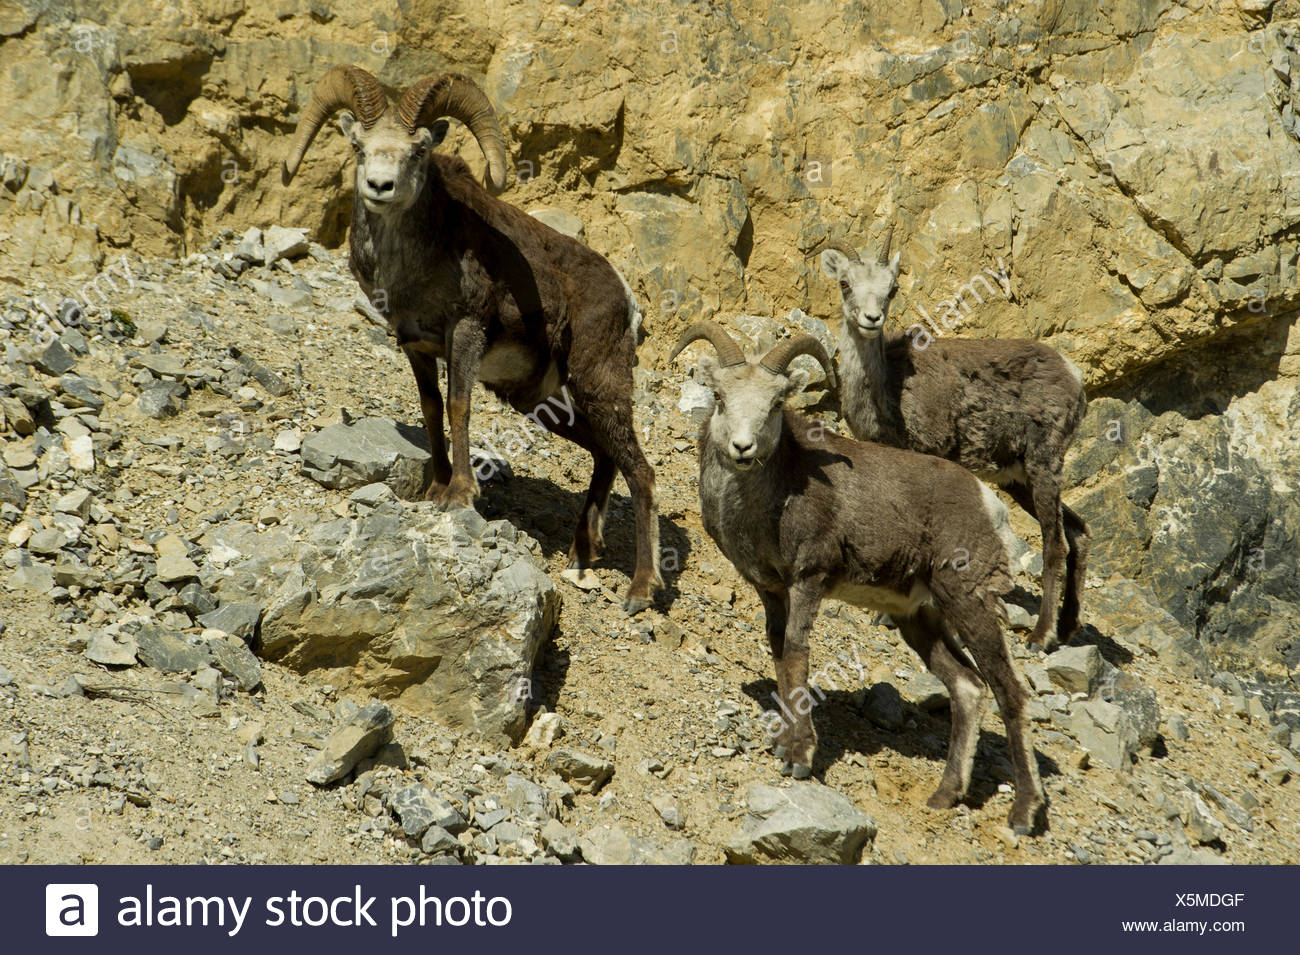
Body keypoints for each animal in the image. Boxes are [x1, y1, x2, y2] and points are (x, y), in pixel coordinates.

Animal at [280, 65, 661, 613]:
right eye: (358, 147)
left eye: (418, 151)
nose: (380, 186)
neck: (413, 266)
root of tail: (626, 299)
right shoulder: (415, 346)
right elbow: (432, 408)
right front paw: (435, 489)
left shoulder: (466, 332)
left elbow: (459, 405)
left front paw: (460, 494)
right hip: (541, 401)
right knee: (605, 456)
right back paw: (581, 554)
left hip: (599, 387)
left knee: (642, 473)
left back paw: (640, 590)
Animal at [671, 321, 1048, 834]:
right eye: (719, 395)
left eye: (775, 403)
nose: (742, 449)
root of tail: (988, 503)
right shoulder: (772, 591)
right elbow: (779, 655)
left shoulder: (808, 580)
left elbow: (796, 654)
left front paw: (799, 757)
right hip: (919, 619)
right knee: (968, 688)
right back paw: (945, 796)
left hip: (968, 604)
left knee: (1011, 693)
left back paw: (1023, 813)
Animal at [814, 230, 1089, 649]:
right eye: (845, 284)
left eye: (892, 289)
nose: (871, 319)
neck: (889, 390)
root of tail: (1074, 376)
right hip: (1020, 478)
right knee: (1078, 531)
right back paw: (1069, 626)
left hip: (1043, 466)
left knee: (1055, 544)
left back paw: (1040, 636)